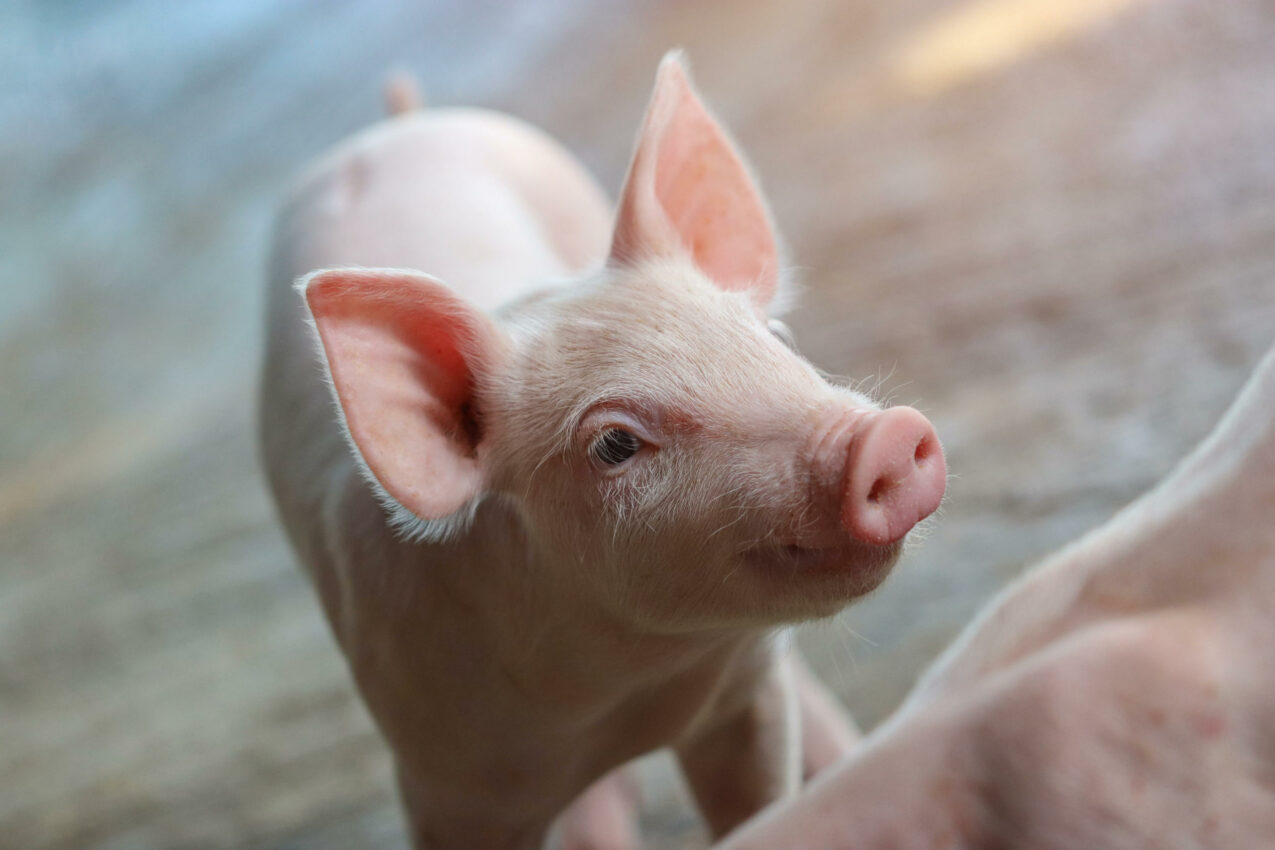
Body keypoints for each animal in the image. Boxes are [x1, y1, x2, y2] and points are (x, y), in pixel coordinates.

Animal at [258, 53, 946, 850]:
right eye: (615, 444)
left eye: (777, 339)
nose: (884, 437)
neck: (626, 694)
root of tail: (396, 124)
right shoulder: (441, 782)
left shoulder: (744, 700)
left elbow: (756, 801)